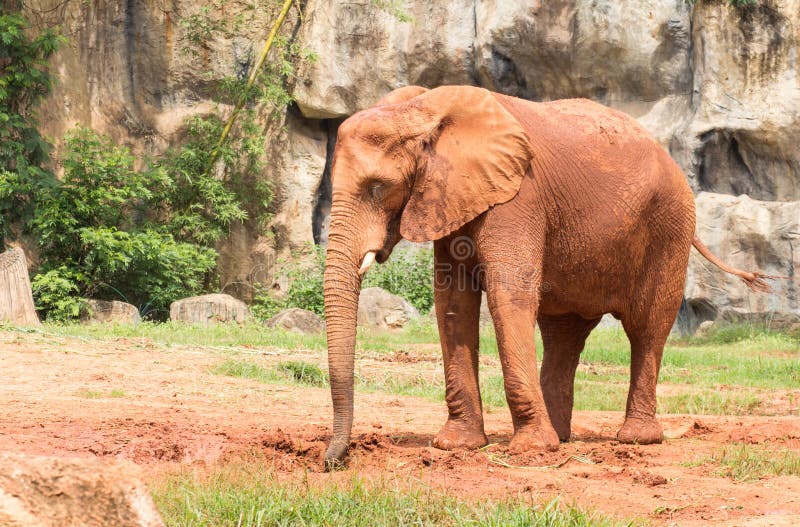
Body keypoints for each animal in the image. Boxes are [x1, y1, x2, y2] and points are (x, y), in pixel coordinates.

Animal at [322, 85, 771, 469]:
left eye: (379, 187)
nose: (332, 461)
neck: (424, 109)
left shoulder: (518, 198)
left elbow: (508, 293)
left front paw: (530, 450)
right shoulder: (452, 199)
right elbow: (452, 302)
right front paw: (456, 446)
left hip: (669, 228)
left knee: (647, 327)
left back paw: (634, 439)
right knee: (564, 334)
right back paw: (562, 435)